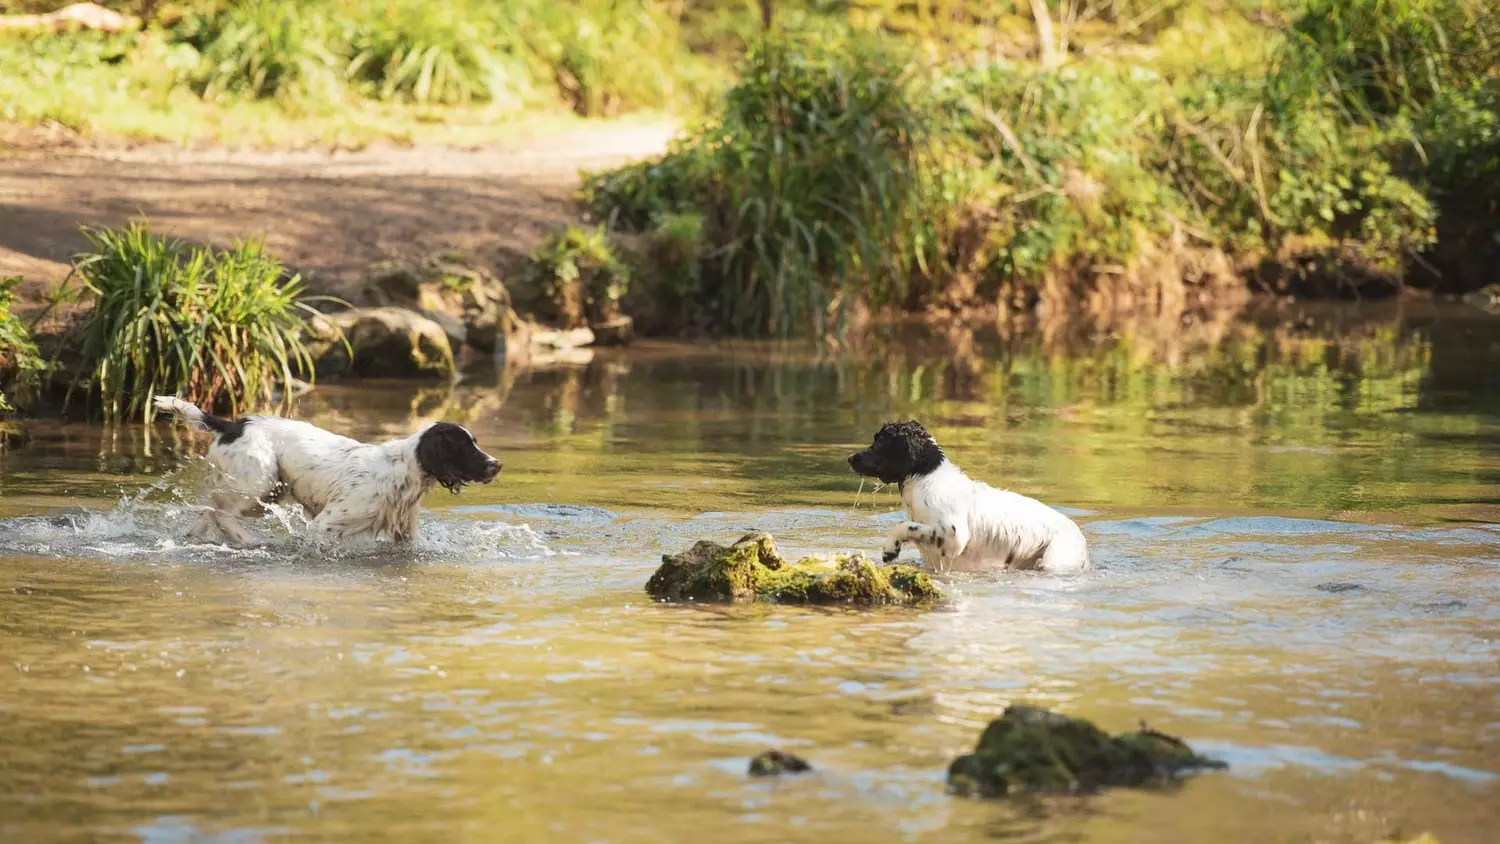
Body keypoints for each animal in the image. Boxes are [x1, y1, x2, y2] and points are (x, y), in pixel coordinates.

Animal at [153, 392, 504, 545]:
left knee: (209, 511)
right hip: (258, 483)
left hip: (264, 490)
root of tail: (231, 425)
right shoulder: (327, 523)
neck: (404, 470)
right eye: (463, 446)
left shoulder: (404, 532)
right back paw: (251, 542)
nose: (496, 464)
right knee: (223, 515)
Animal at [846, 419, 1092, 575]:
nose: (850, 458)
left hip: (1055, 558)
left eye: (879, 442)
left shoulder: (954, 536)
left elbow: (905, 526)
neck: (926, 477)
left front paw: (890, 549)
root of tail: (1079, 537)